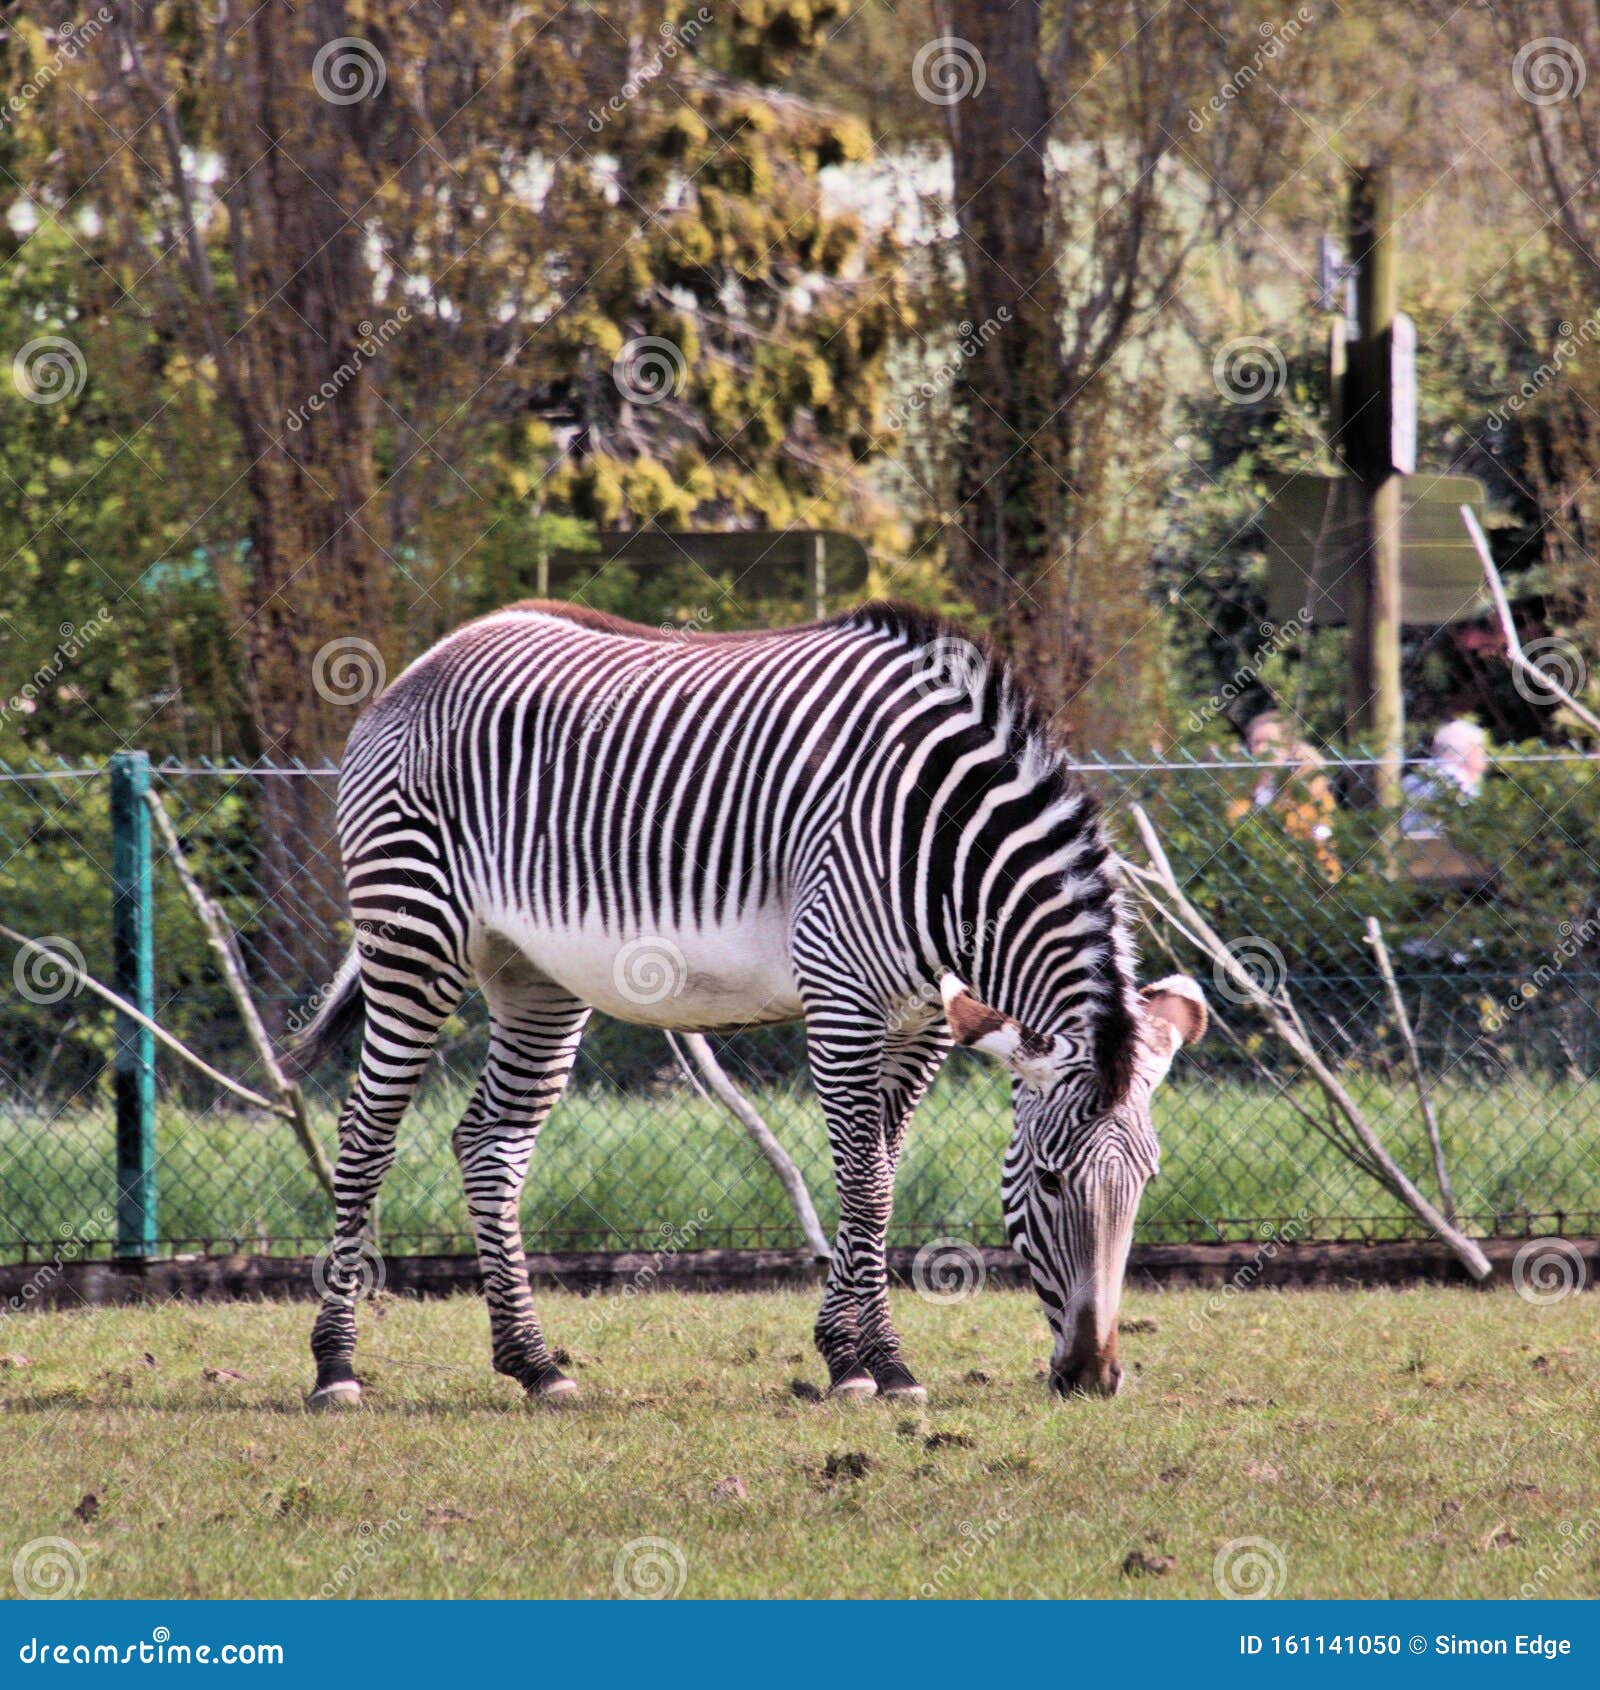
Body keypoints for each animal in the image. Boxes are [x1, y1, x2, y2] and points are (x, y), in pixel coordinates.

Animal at [292, 599, 1206, 1408]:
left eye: (1150, 1179)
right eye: (1049, 1181)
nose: (1093, 1378)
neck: (943, 845)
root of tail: (431, 656)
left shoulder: (922, 1024)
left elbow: (884, 1171)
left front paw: (863, 1359)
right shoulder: (842, 998)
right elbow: (865, 1181)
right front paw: (869, 1366)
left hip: (534, 975)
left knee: (491, 1144)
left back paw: (535, 1366)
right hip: (411, 932)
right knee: (365, 1134)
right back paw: (336, 1368)